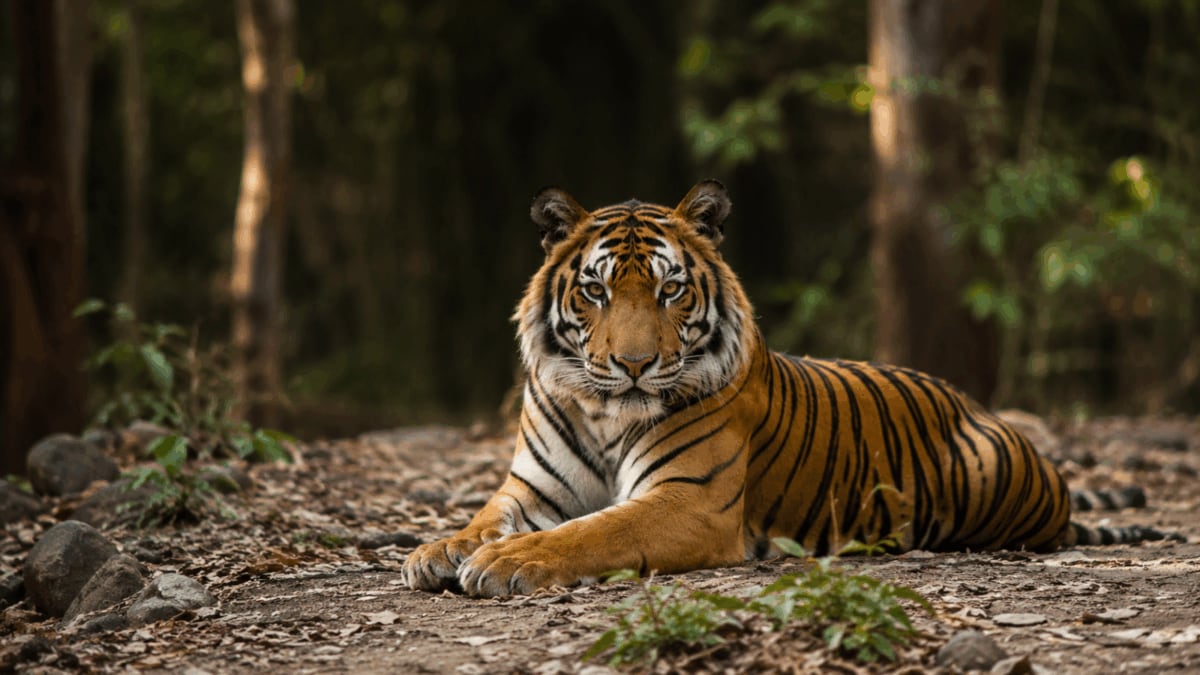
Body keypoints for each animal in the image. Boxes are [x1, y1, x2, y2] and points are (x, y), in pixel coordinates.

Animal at [403, 180, 1177, 597]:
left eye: (670, 289)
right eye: (595, 291)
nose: (633, 364)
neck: (604, 414)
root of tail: (976, 404)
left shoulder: (688, 501)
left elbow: (594, 531)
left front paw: (506, 561)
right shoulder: (531, 489)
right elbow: (484, 516)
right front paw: (436, 551)